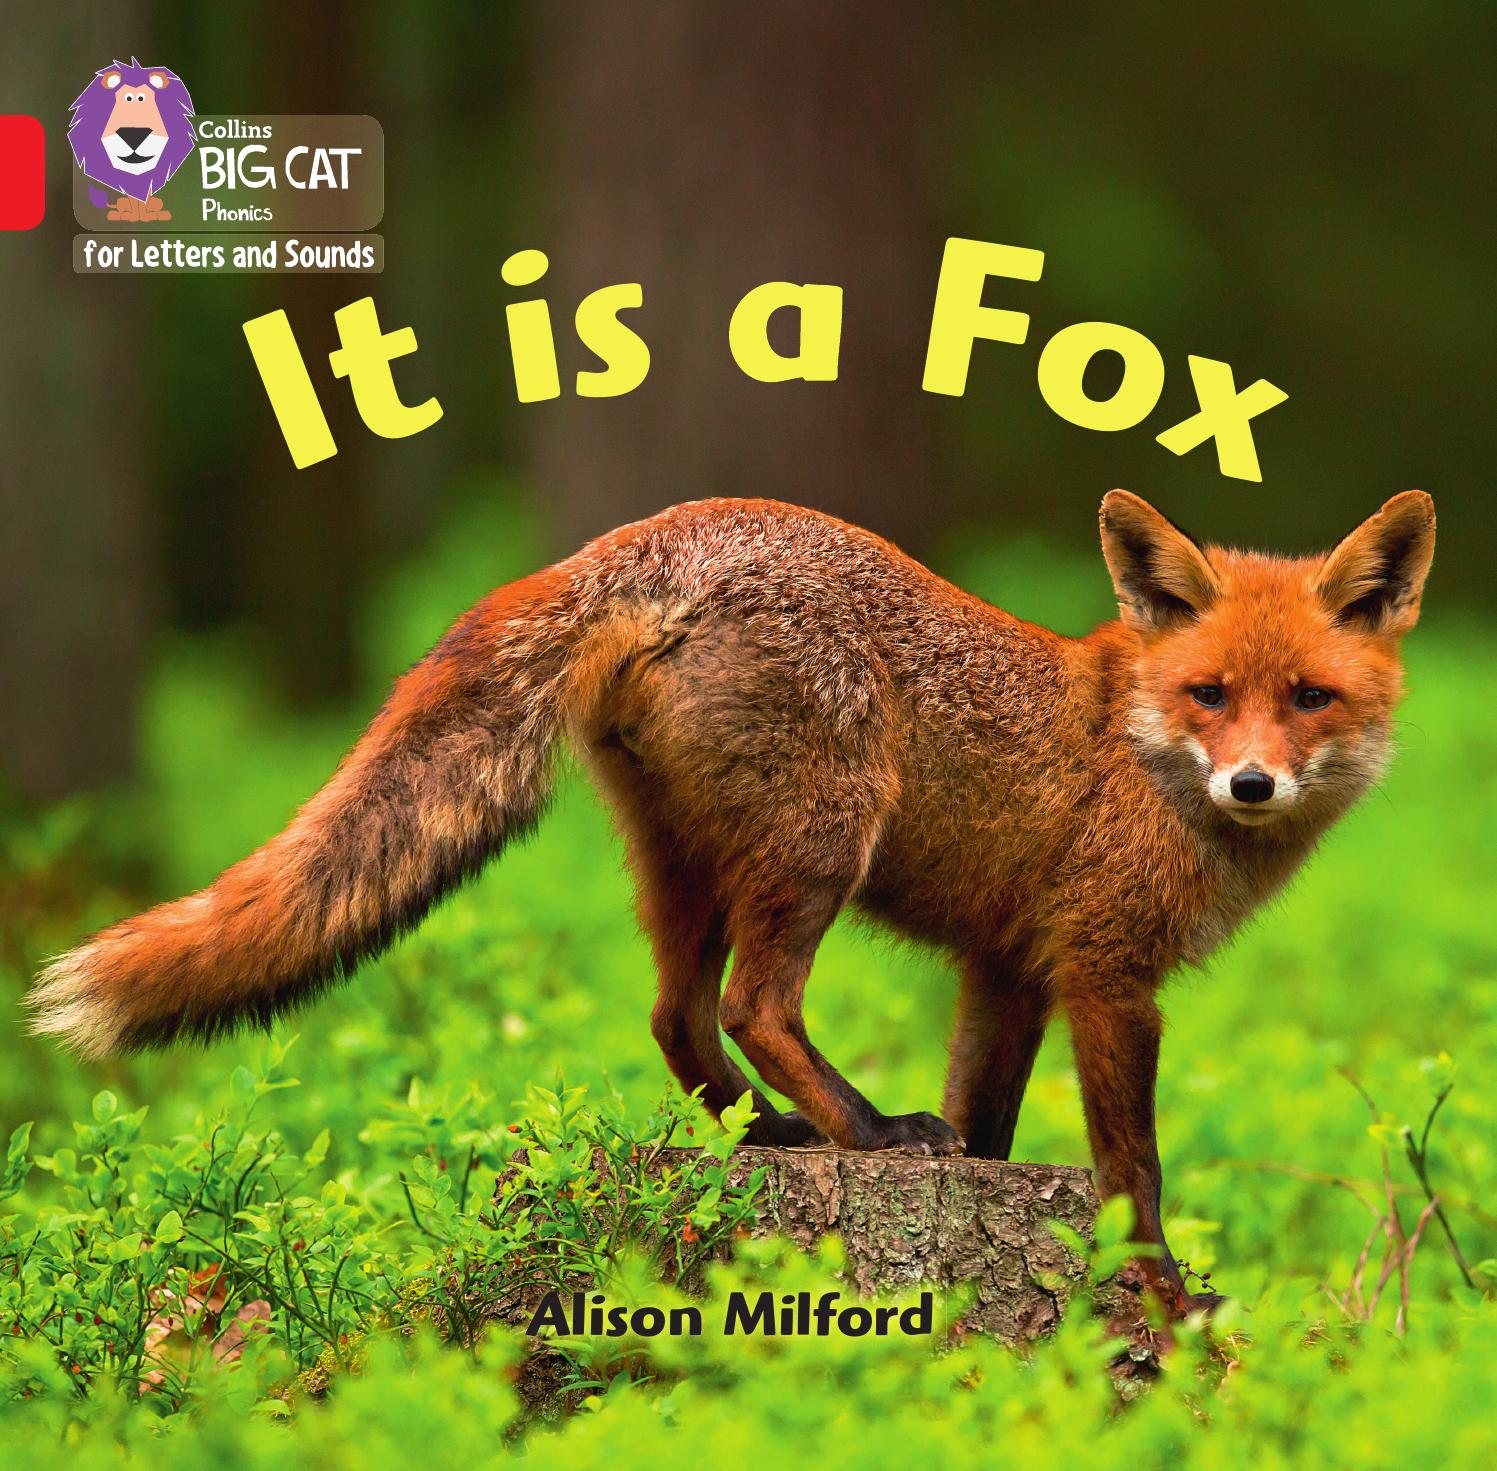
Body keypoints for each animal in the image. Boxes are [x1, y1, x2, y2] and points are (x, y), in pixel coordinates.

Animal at [29, 489, 1435, 1313]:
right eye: (1212, 695)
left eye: (1309, 697)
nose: (1252, 781)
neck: (1136, 747)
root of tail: (646, 532)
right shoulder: (1106, 972)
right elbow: (1132, 1167)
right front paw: (1164, 1299)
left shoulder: (1006, 969)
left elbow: (992, 1127)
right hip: (818, 844)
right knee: (759, 1005)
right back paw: (866, 1133)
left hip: (687, 865)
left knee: (675, 1018)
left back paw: (772, 1136)